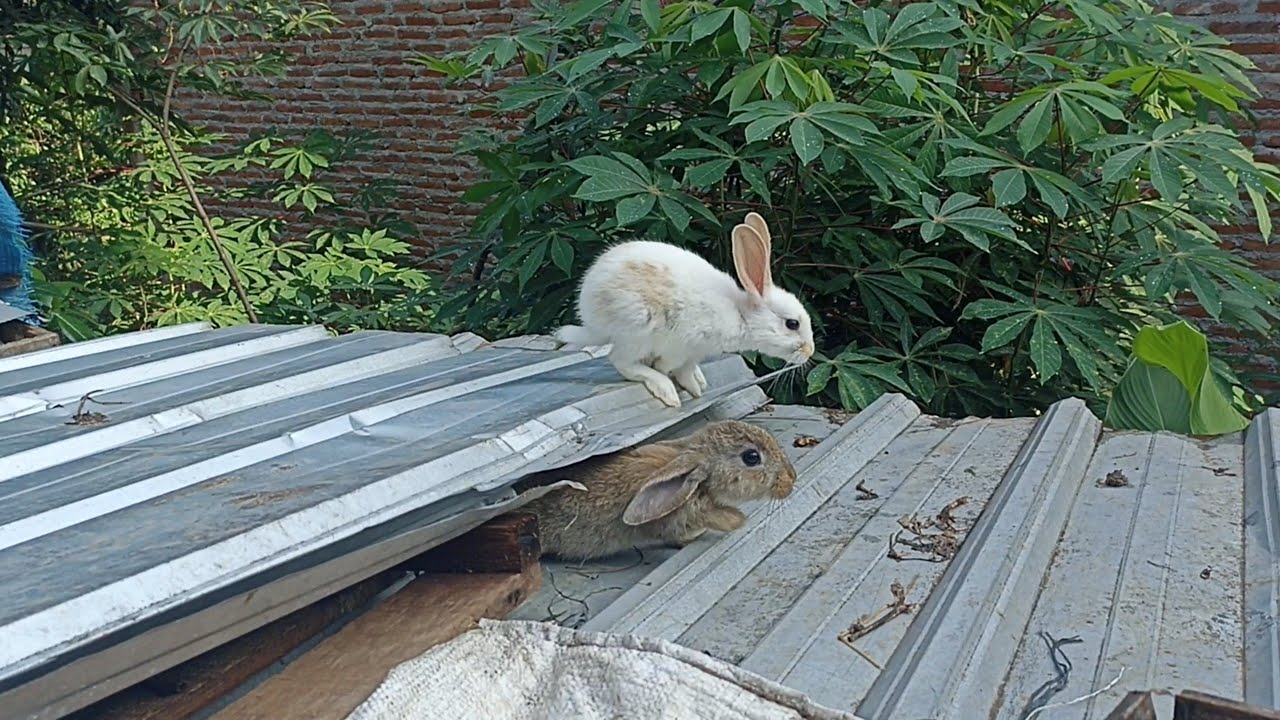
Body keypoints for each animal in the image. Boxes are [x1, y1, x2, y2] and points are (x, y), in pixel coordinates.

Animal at [554, 212, 815, 408]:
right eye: (792, 324)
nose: (810, 352)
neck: (740, 315)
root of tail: (591, 320)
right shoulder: (680, 346)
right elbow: (668, 365)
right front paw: (677, 382)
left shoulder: (695, 353)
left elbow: (686, 371)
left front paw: (696, 388)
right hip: (636, 331)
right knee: (621, 362)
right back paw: (666, 390)